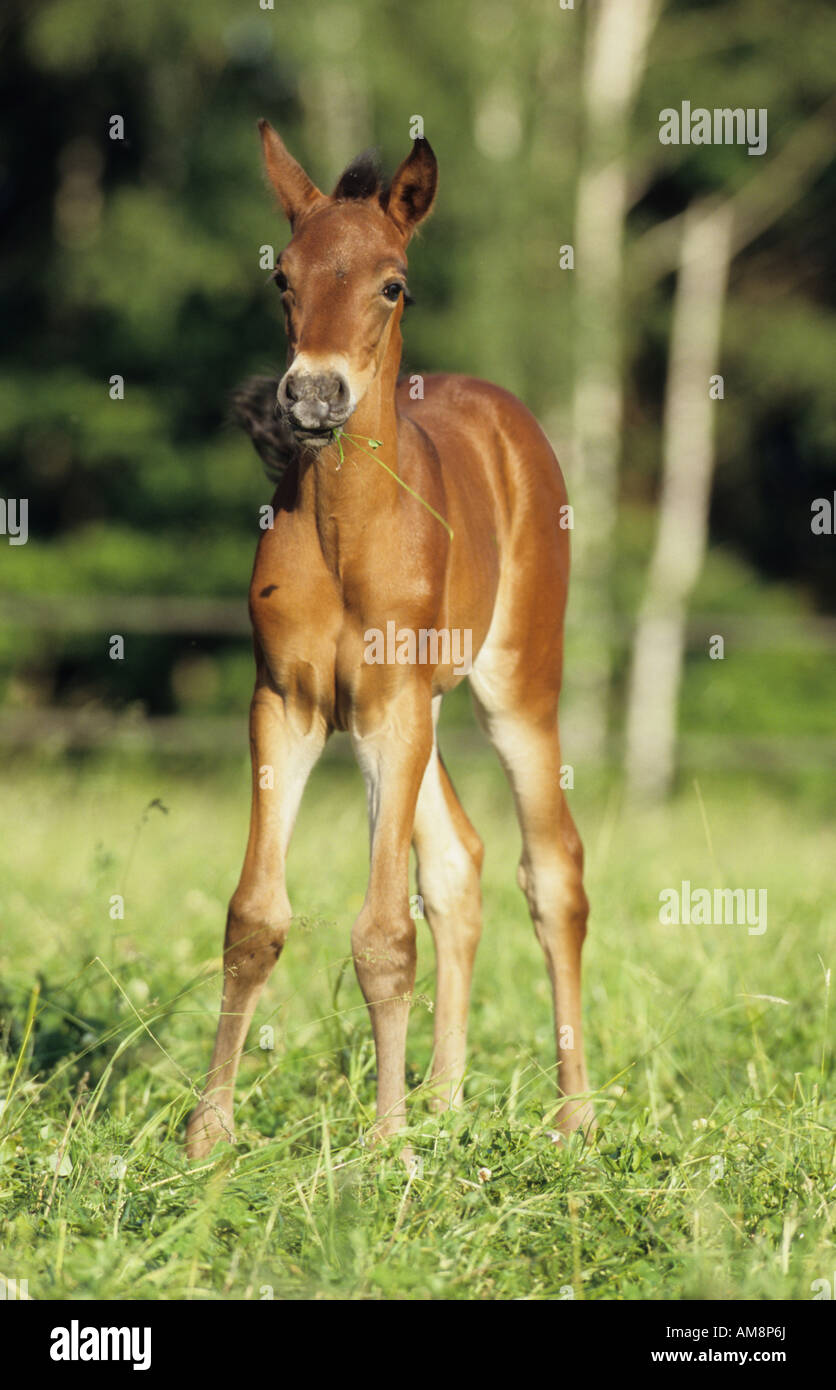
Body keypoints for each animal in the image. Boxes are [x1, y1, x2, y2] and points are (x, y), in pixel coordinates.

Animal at [186, 121, 593, 1158]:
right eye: (282, 277)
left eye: (393, 282)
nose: (312, 396)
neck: (345, 531)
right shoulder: (285, 704)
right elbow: (255, 917)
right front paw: (207, 1138)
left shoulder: (389, 711)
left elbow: (382, 933)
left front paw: (386, 1146)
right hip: (425, 713)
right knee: (459, 863)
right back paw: (446, 1101)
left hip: (512, 686)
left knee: (553, 870)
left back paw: (575, 1117)